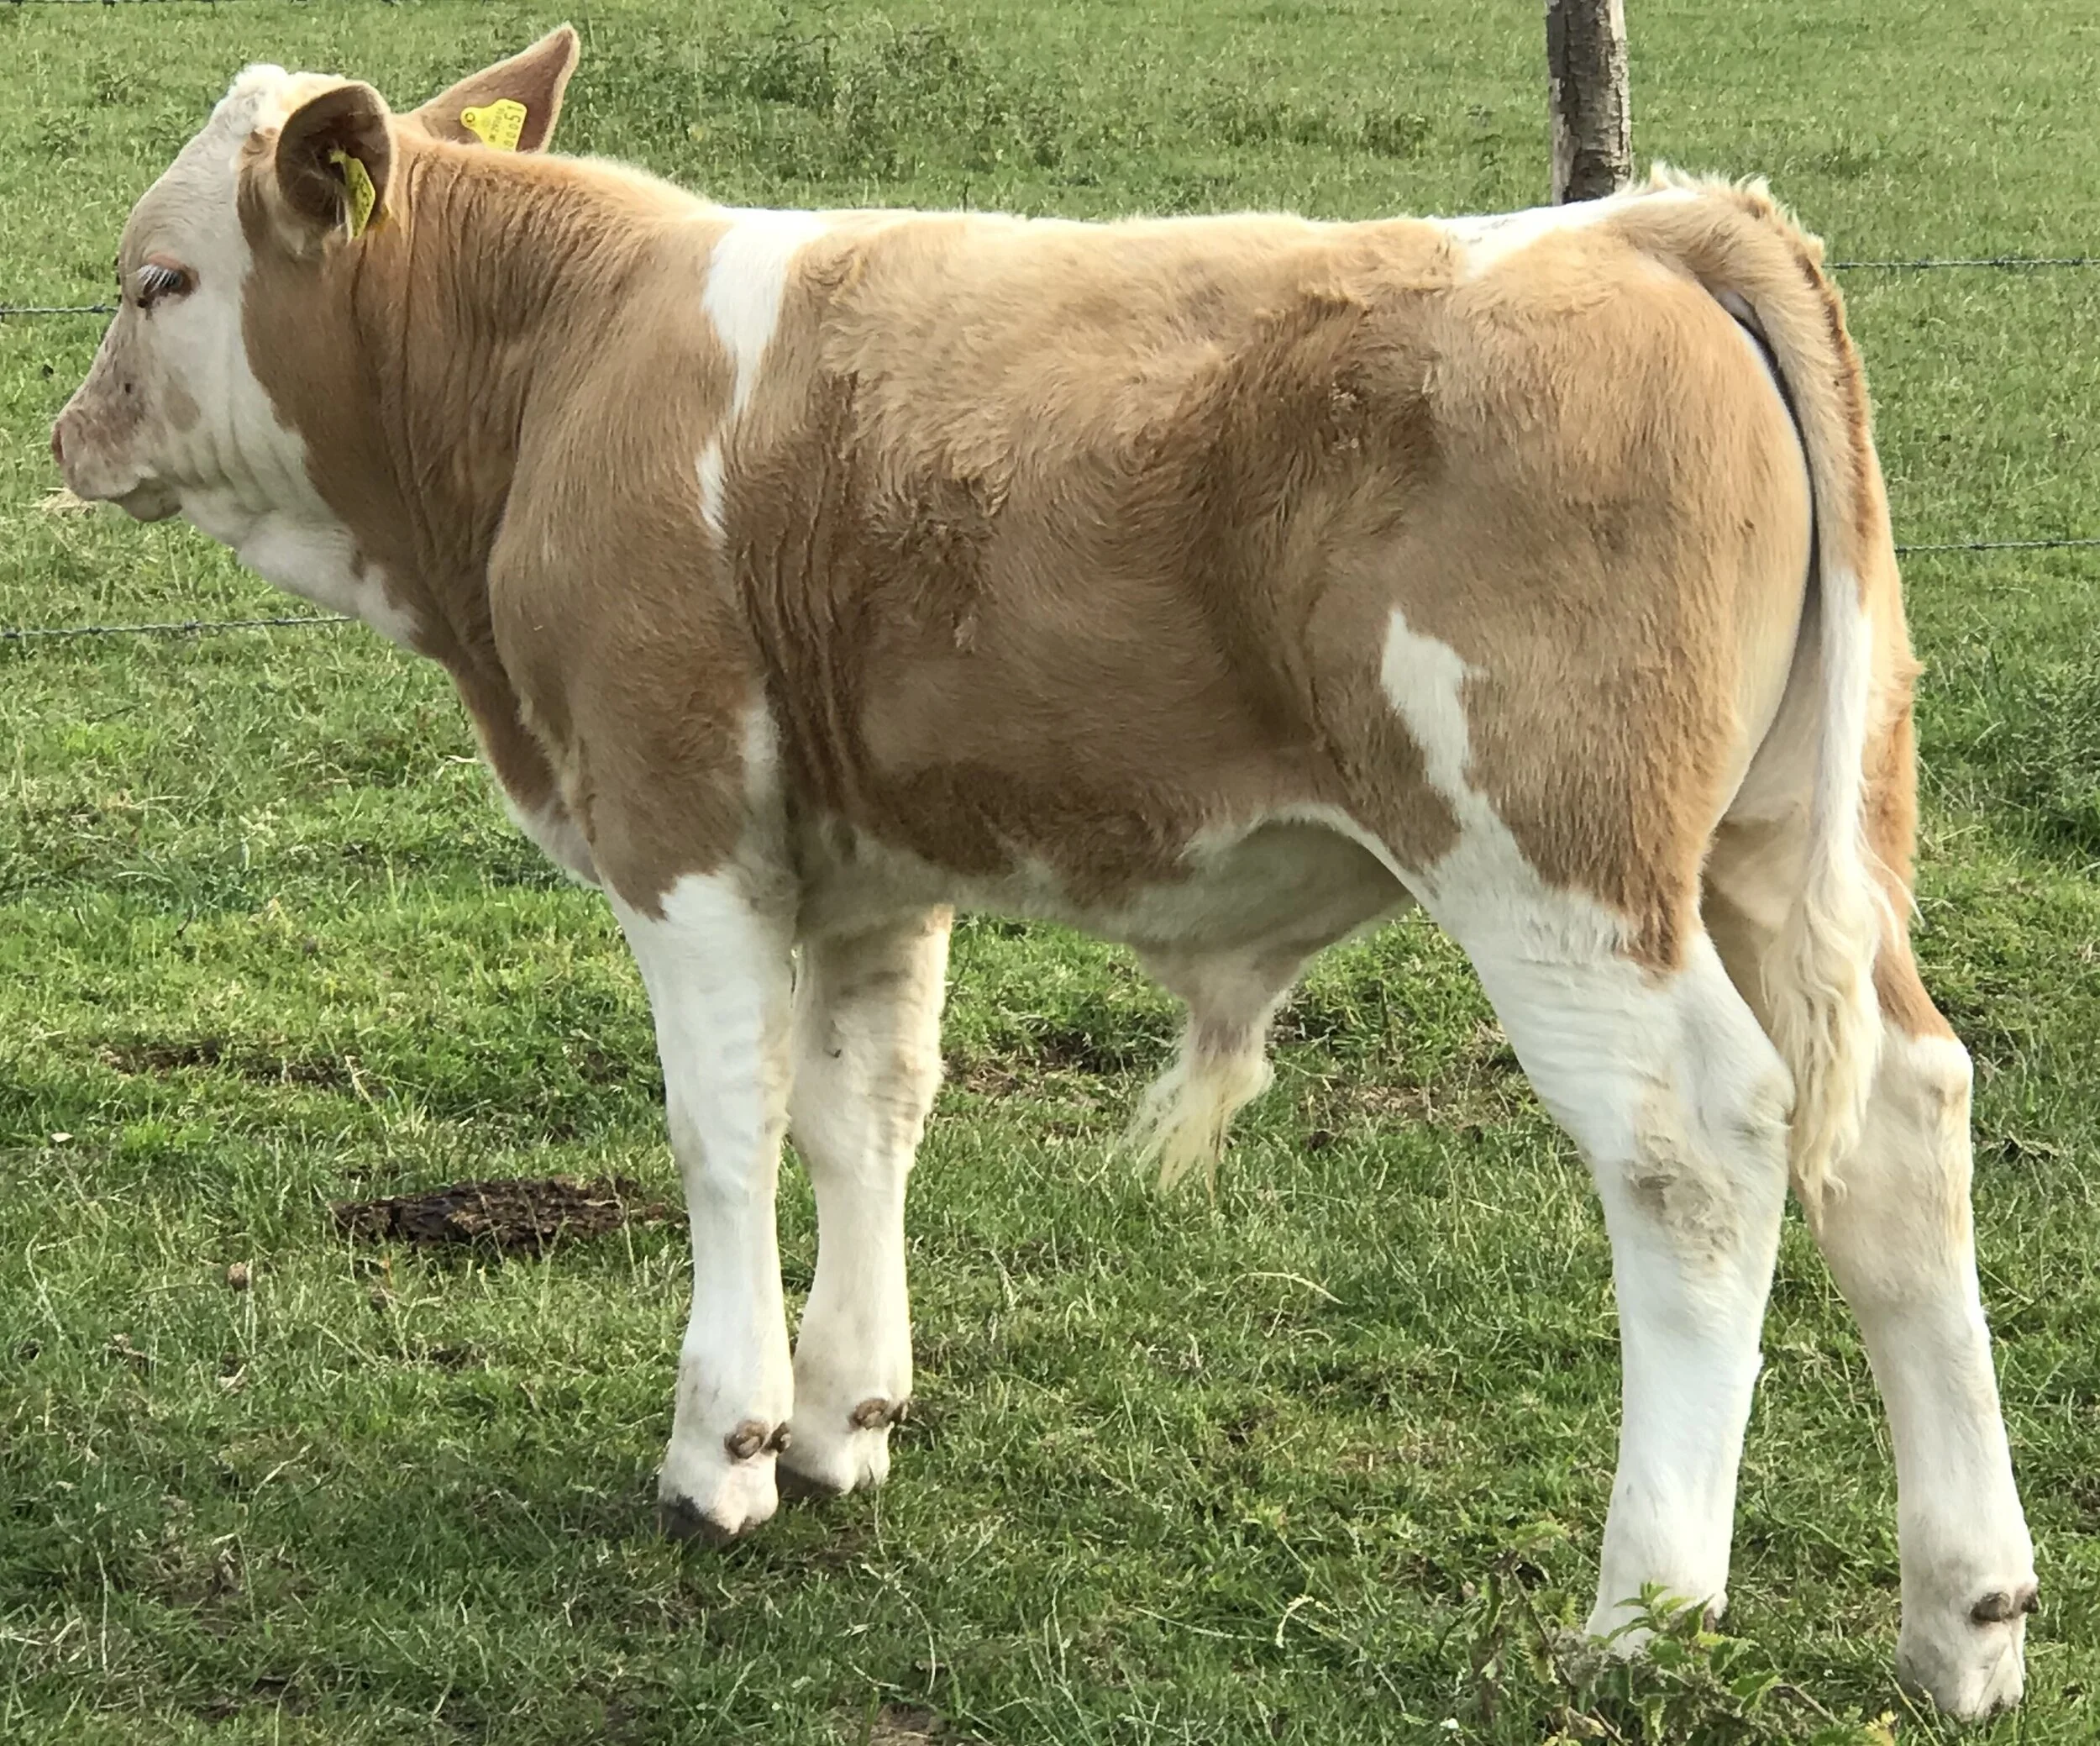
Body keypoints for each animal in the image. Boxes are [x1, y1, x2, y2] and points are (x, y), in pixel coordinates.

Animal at [50, 27, 2037, 1716]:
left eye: (158, 283)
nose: (68, 436)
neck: (559, 373)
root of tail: (1654, 223)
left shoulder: (676, 817)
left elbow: (723, 1126)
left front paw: (722, 1451)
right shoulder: (867, 858)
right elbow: (863, 1106)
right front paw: (843, 1414)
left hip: (1559, 866)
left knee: (1700, 1151)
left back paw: (1644, 1613)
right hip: (1778, 852)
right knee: (1901, 1121)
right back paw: (1964, 1612)